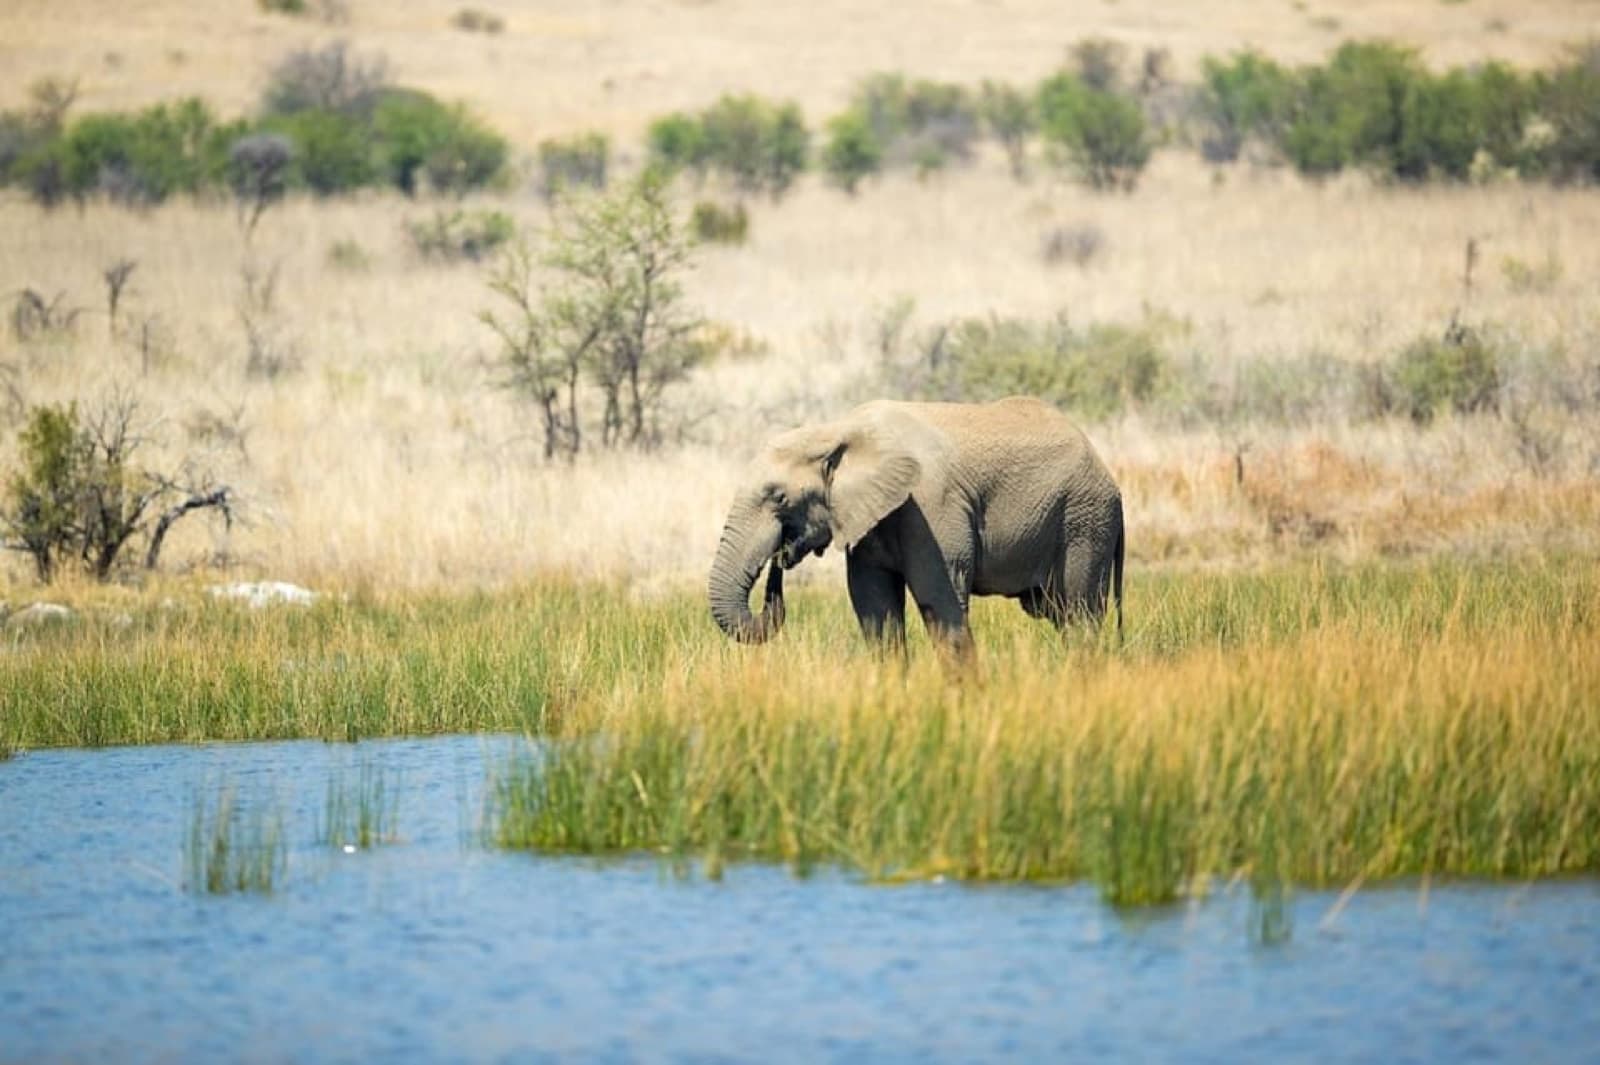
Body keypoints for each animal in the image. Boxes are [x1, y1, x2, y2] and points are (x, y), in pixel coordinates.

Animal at [708, 396, 1124, 652]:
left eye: (778, 497)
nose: (778, 561)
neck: (841, 430)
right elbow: (874, 607)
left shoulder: (931, 508)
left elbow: (939, 602)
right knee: (1058, 612)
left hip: (1085, 523)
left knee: (1080, 615)